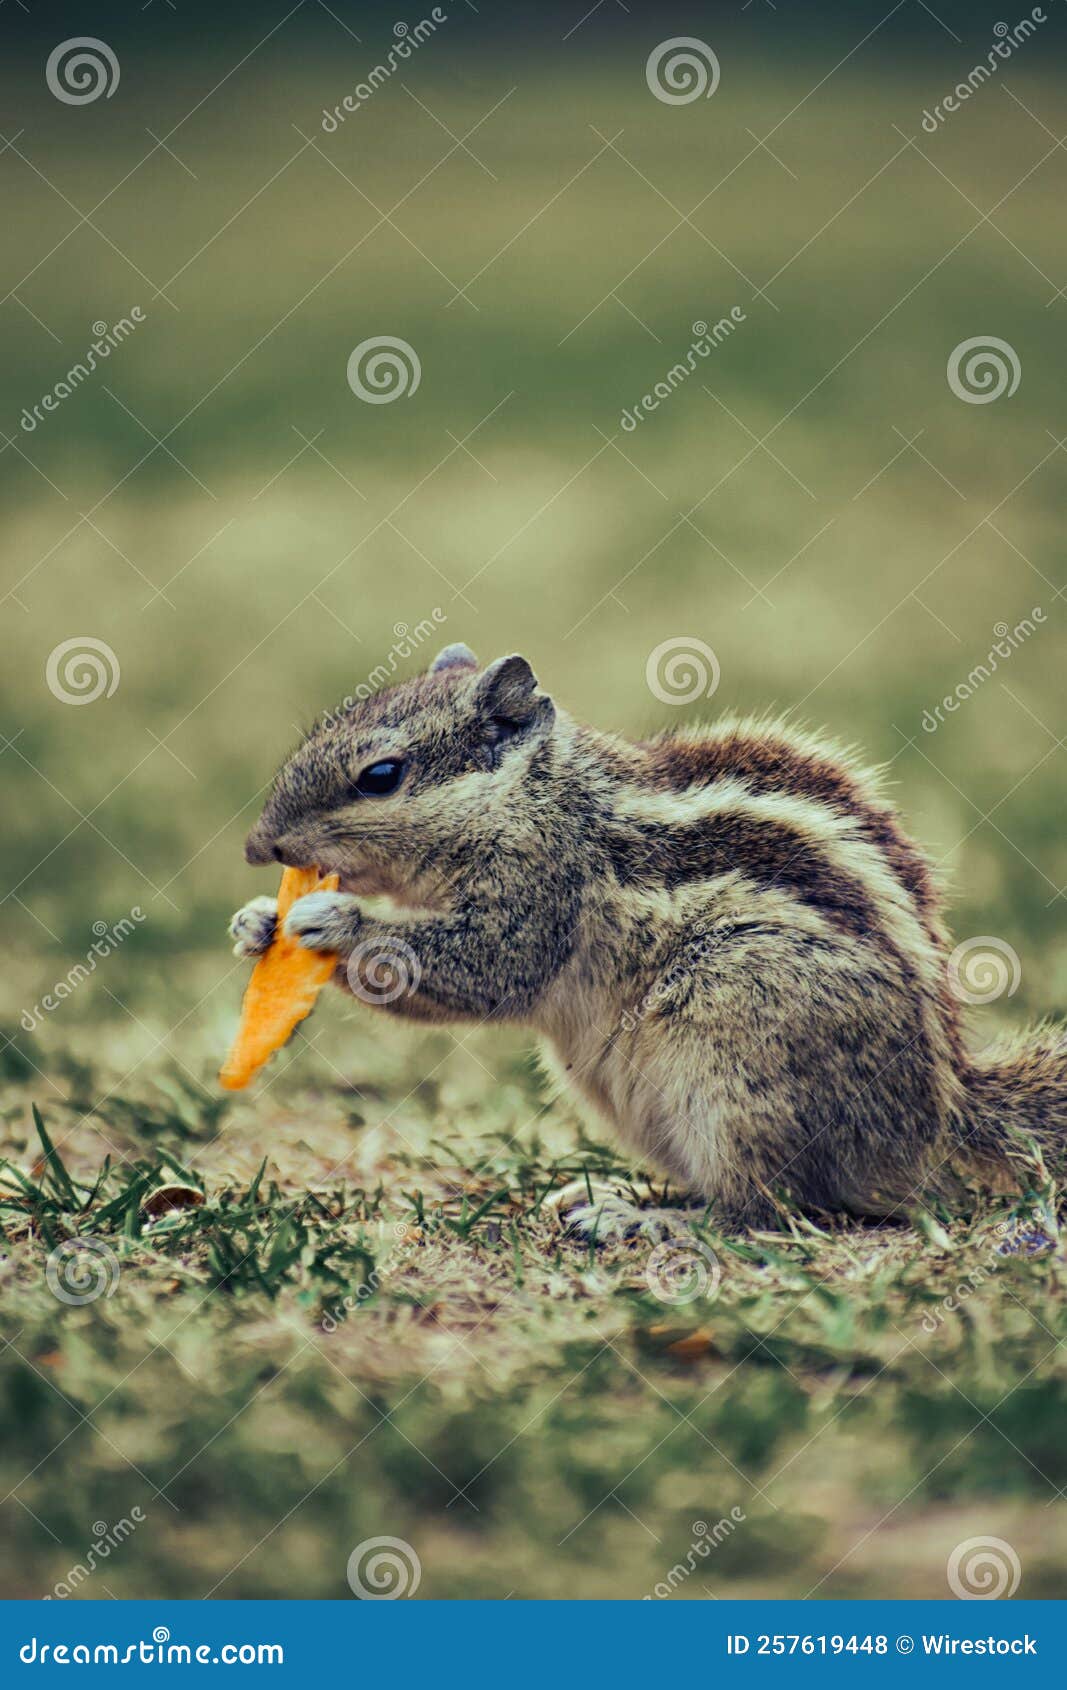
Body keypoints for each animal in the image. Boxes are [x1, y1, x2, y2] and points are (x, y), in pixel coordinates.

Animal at [230, 642, 1066, 1236]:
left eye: (381, 774)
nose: (258, 846)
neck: (533, 799)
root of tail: (935, 1115)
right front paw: (257, 922)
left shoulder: (537, 892)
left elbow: (481, 970)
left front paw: (334, 922)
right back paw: (614, 1190)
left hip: (739, 1053)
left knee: (767, 1209)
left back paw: (649, 1222)